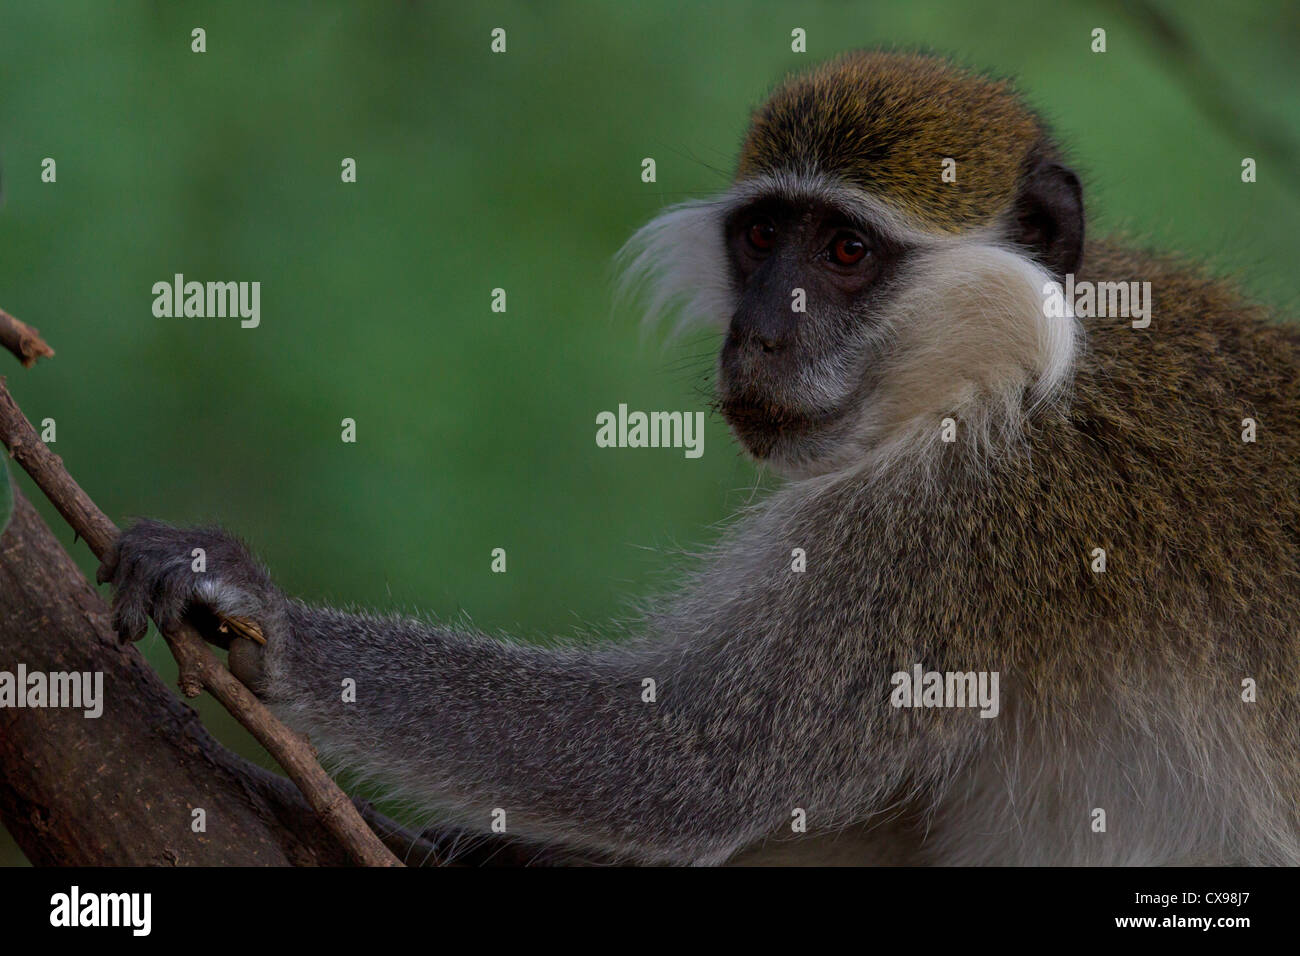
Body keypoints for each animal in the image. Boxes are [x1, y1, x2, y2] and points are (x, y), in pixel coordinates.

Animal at [100, 50, 1300, 866]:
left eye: (846, 251)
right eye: (764, 238)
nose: (758, 332)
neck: (1019, 366)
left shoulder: (955, 525)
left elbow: (687, 764)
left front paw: (267, 618)